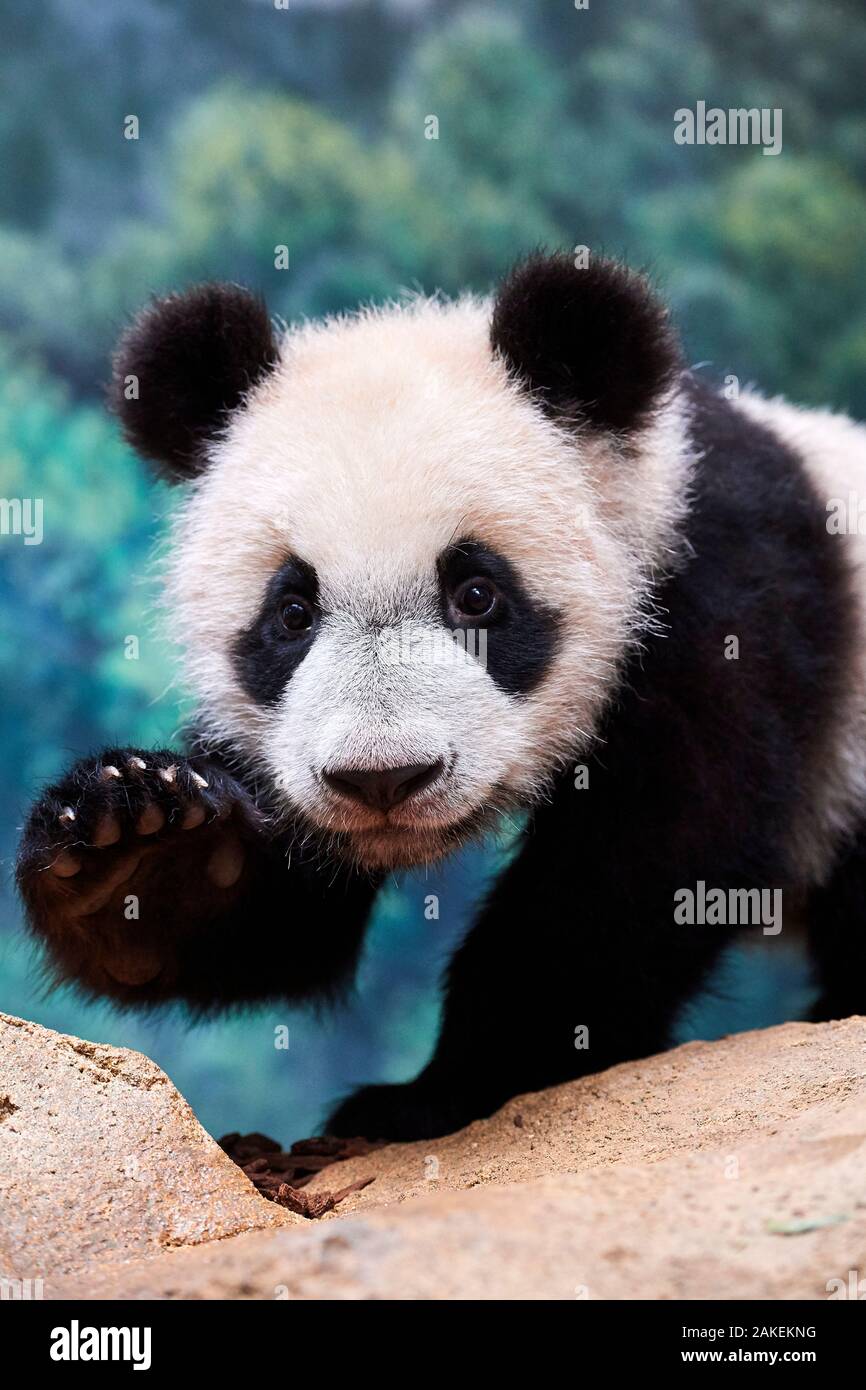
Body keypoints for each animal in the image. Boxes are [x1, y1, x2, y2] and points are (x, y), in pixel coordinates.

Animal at [17, 253, 866, 1142]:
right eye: (292, 613)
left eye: (476, 595)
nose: (383, 779)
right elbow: (279, 921)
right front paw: (138, 845)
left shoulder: (732, 594)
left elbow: (657, 853)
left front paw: (443, 1090)